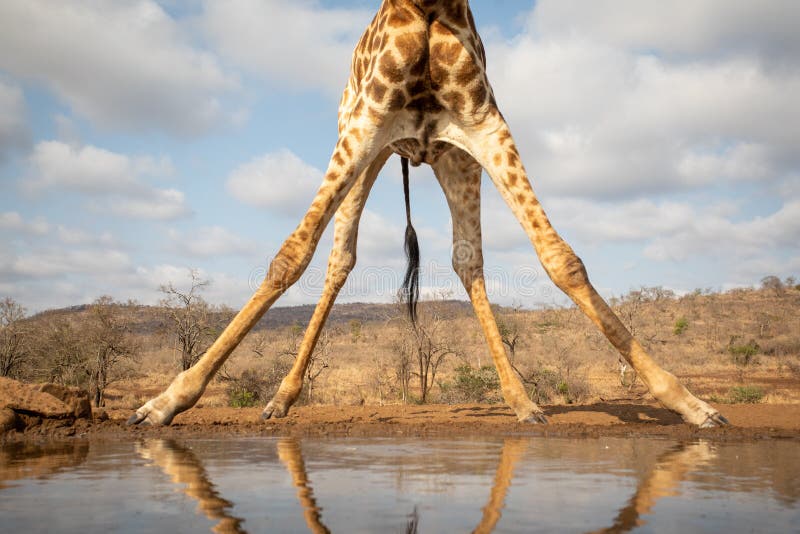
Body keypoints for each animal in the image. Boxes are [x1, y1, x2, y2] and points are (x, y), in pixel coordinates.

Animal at [129, 0, 728, 428]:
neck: (429, 4)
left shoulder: (486, 123)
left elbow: (561, 258)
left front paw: (688, 402)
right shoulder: (365, 125)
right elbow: (290, 255)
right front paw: (166, 401)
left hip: (454, 160)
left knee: (468, 260)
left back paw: (521, 400)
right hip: (362, 149)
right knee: (339, 259)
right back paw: (279, 400)